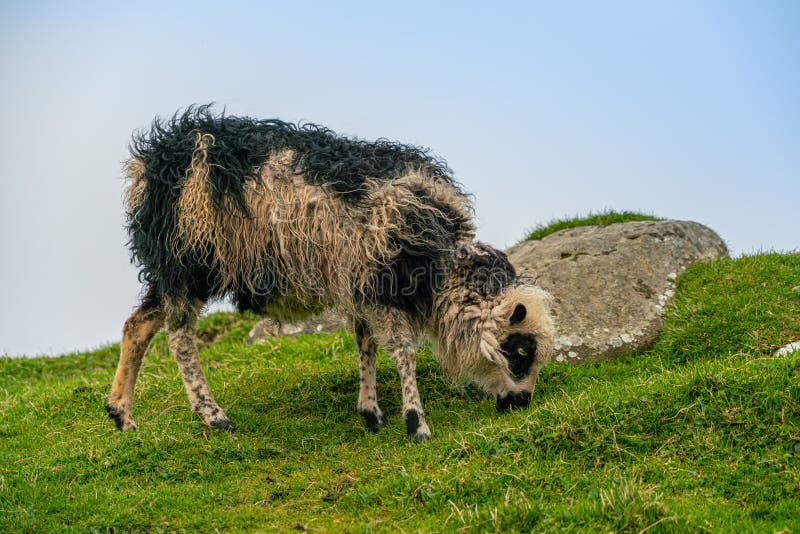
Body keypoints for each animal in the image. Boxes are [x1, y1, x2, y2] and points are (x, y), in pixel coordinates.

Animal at [106, 106, 555, 441]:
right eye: (520, 351)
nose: (521, 404)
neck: (439, 262)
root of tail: (150, 162)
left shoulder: (359, 284)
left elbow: (365, 344)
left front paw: (371, 412)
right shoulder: (378, 281)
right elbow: (403, 351)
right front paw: (417, 423)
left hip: (173, 267)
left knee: (138, 325)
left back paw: (121, 415)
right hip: (191, 258)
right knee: (179, 338)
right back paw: (212, 414)